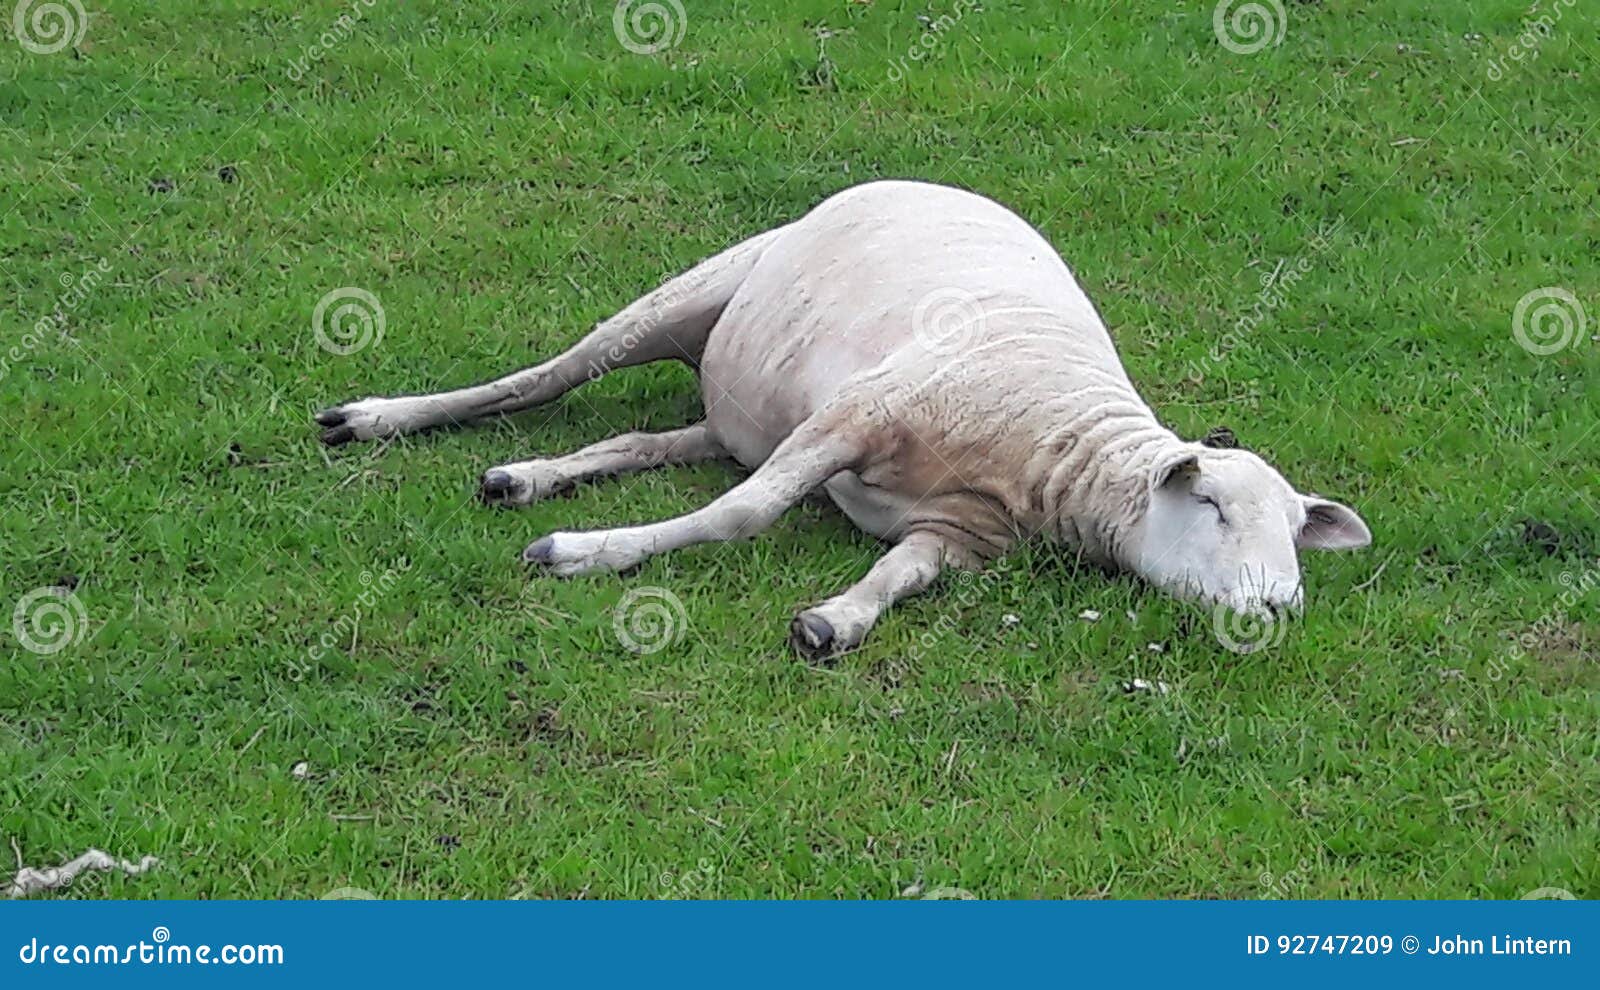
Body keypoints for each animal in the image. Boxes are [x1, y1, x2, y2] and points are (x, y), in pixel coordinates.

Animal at [316, 180, 1371, 659]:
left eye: (1296, 533)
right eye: (1215, 508)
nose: (1280, 607)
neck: (1058, 445)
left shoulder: (959, 532)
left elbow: (901, 572)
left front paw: (835, 620)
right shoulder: (860, 415)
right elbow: (744, 512)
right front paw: (581, 555)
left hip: (745, 408)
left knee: (643, 439)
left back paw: (523, 477)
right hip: (691, 297)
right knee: (542, 380)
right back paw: (371, 418)